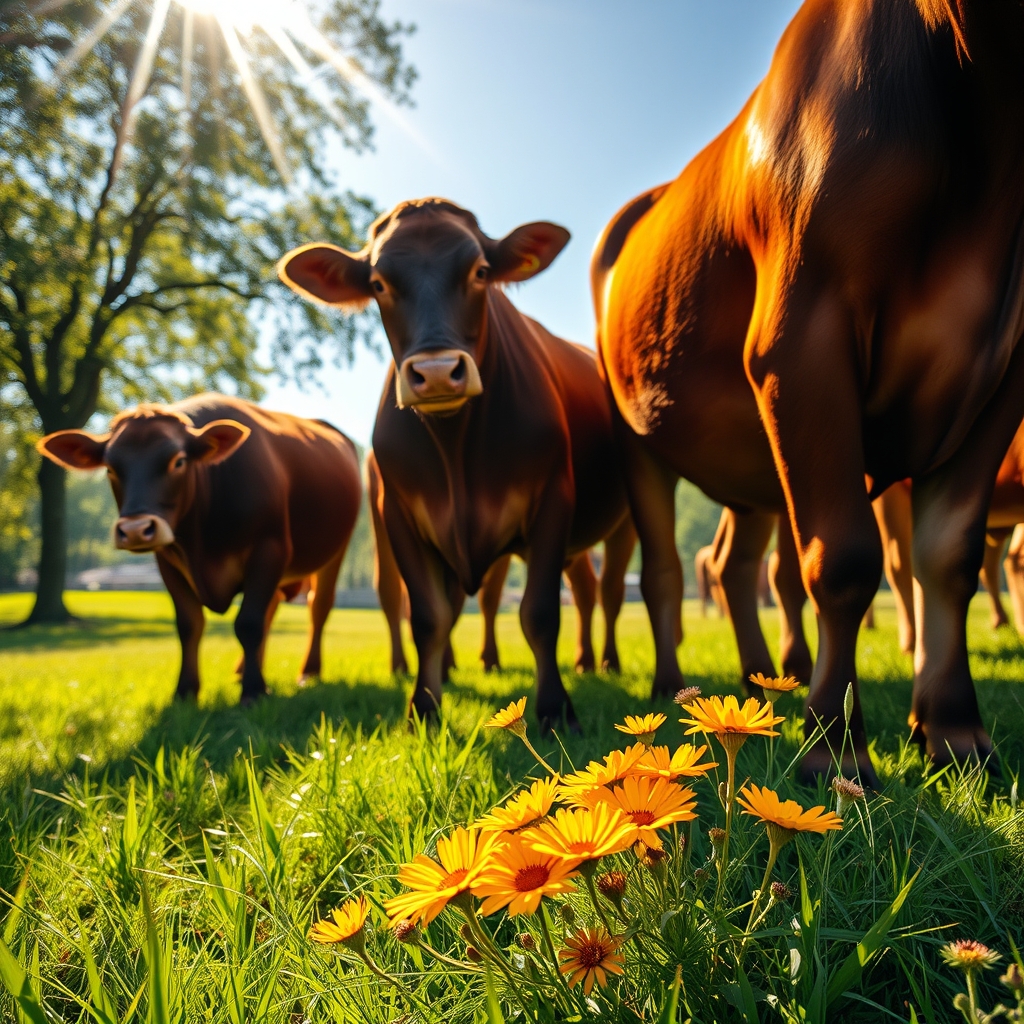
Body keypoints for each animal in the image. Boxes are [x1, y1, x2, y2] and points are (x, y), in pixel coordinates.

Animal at [37, 394, 361, 703]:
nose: (136, 530)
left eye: (178, 461)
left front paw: (253, 691)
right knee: (271, 607)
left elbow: (249, 622)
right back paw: (244, 669)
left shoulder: (269, 548)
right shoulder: (167, 561)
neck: (203, 540)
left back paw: (308, 672)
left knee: (317, 607)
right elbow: (189, 625)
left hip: (335, 551)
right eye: (110, 468)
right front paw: (185, 692)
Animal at [280, 198, 637, 729]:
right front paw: (424, 708)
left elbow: (539, 612)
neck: (455, 450)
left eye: (481, 271)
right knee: (586, 588)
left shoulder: (553, 497)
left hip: (626, 518)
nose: (434, 372)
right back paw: (584, 661)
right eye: (379, 283)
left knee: (611, 591)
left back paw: (608, 662)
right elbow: (429, 616)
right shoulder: (400, 514)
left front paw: (555, 710)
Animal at [594, 0, 1024, 781]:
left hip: (748, 459)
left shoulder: (1003, 373)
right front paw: (833, 745)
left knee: (732, 565)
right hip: (635, 433)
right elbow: (843, 559)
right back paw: (673, 686)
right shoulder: (800, 340)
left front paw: (954, 734)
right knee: (665, 568)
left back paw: (755, 681)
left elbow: (950, 557)